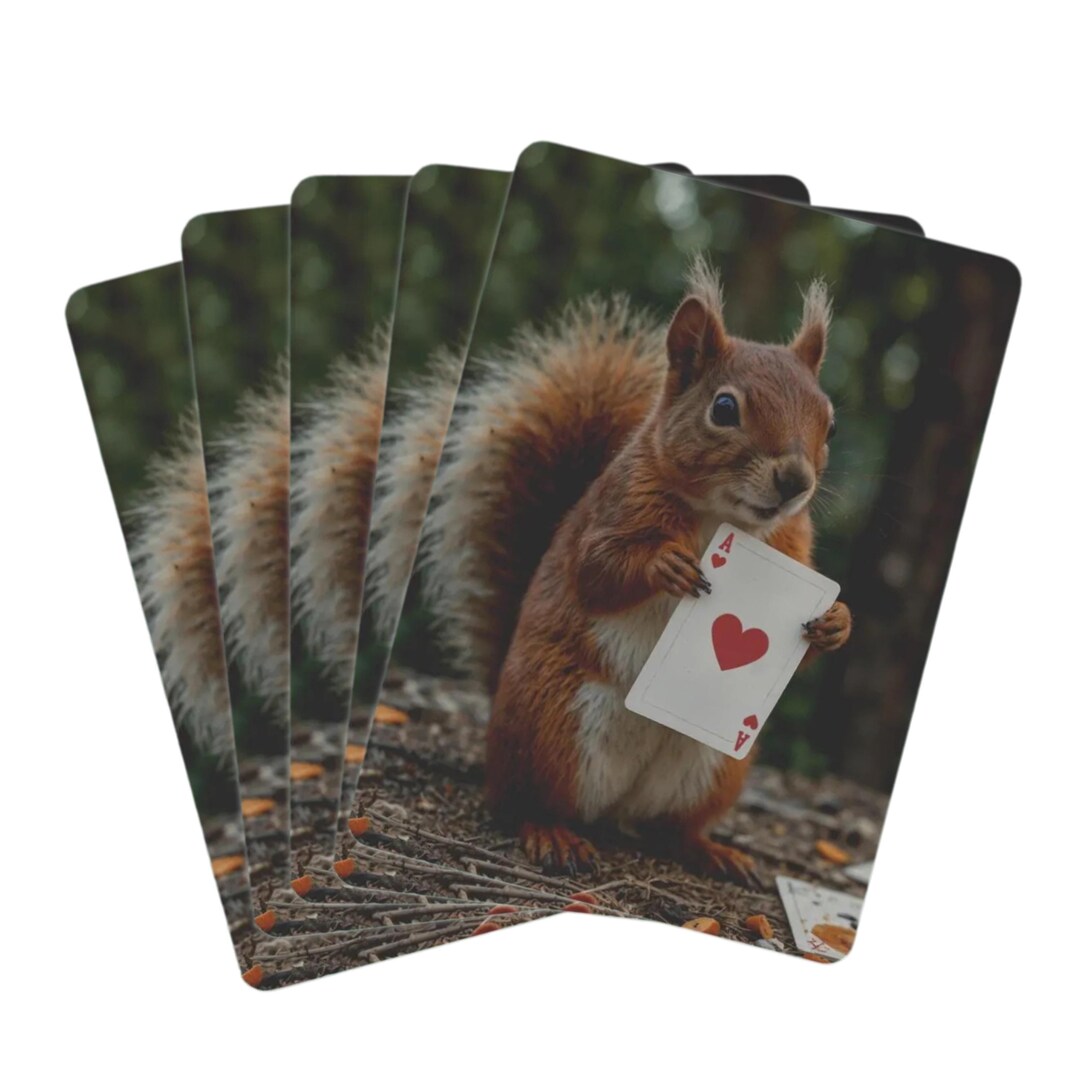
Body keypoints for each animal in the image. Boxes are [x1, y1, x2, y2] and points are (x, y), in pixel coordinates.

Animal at [416, 257, 851, 883]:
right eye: (724, 408)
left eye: (831, 424)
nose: (795, 481)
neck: (722, 516)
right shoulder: (610, 512)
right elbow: (596, 570)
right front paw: (664, 564)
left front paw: (836, 621)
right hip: (552, 727)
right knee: (526, 802)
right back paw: (553, 833)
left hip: (716, 766)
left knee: (671, 827)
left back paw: (710, 850)